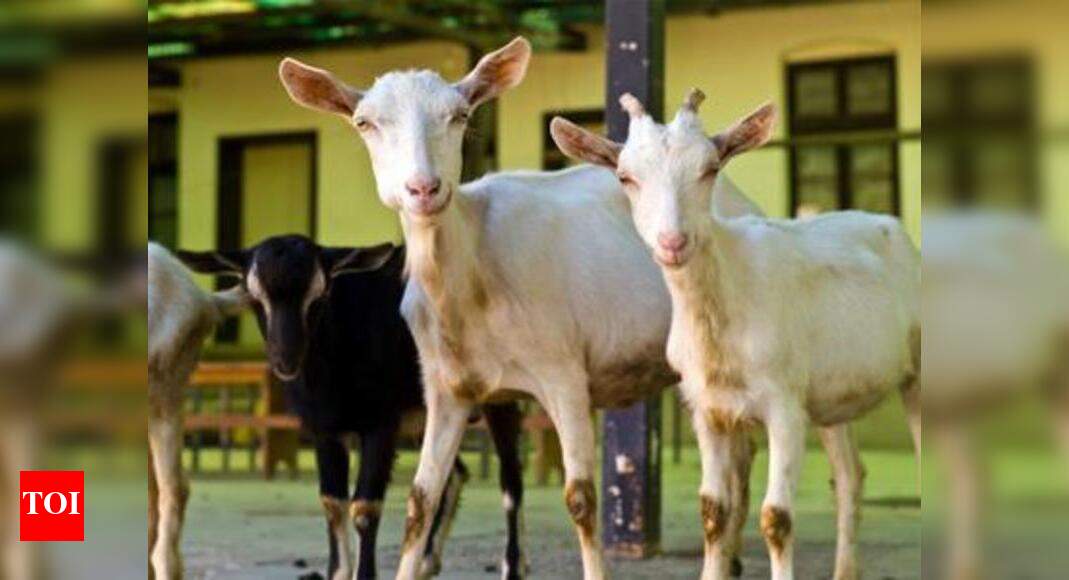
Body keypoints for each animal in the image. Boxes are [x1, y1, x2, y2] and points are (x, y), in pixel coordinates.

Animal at [178, 234, 527, 580]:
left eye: (320, 295)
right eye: (254, 297)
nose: (286, 360)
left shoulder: (381, 424)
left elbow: (364, 507)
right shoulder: (324, 429)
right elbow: (332, 503)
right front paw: (336, 571)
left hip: (498, 395)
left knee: (510, 479)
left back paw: (513, 566)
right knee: (452, 475)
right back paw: (428, 561)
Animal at [550, 89, 921, 580]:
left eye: (710, 169)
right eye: (626, 178)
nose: (672, 242)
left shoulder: (784, 406)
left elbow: (776, 518)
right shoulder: (707, 409)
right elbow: (714, 510)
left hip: (915, 373)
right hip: (832, 397)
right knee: (849, 476)